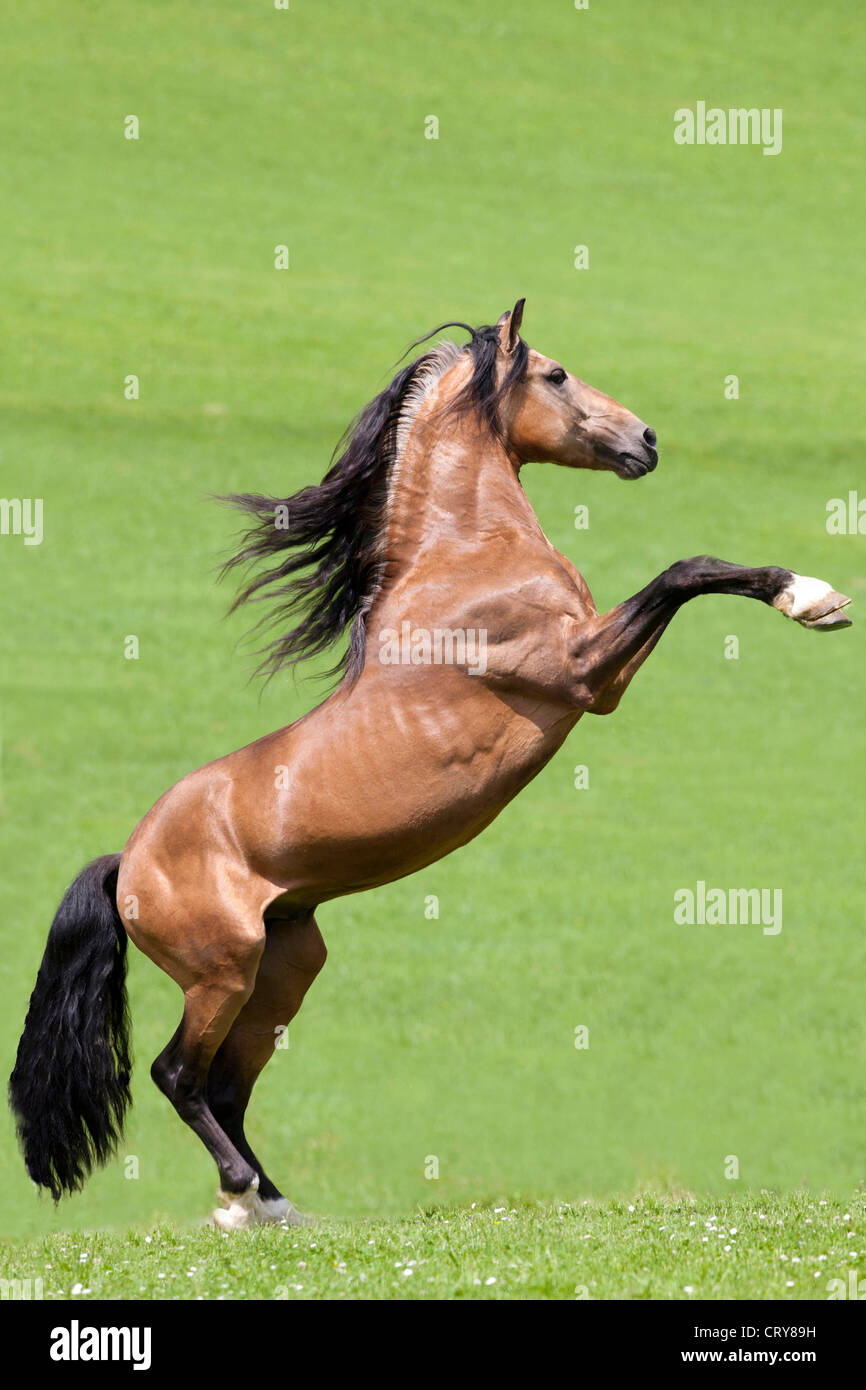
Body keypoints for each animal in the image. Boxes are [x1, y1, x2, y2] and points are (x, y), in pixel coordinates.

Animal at [9, 300, 852, 1229]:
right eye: (555, 373)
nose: (647, 439)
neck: (465, 560)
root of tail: (127, 860)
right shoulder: (583, 673)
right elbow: (686, 569)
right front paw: (812, 598)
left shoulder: (598, 673)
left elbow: (687, 574)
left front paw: (815, 598)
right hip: (222, 970)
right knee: (178, 1075)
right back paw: (240, 1198)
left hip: (287, 963)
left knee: (227, 1087)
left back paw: (276, 1207)